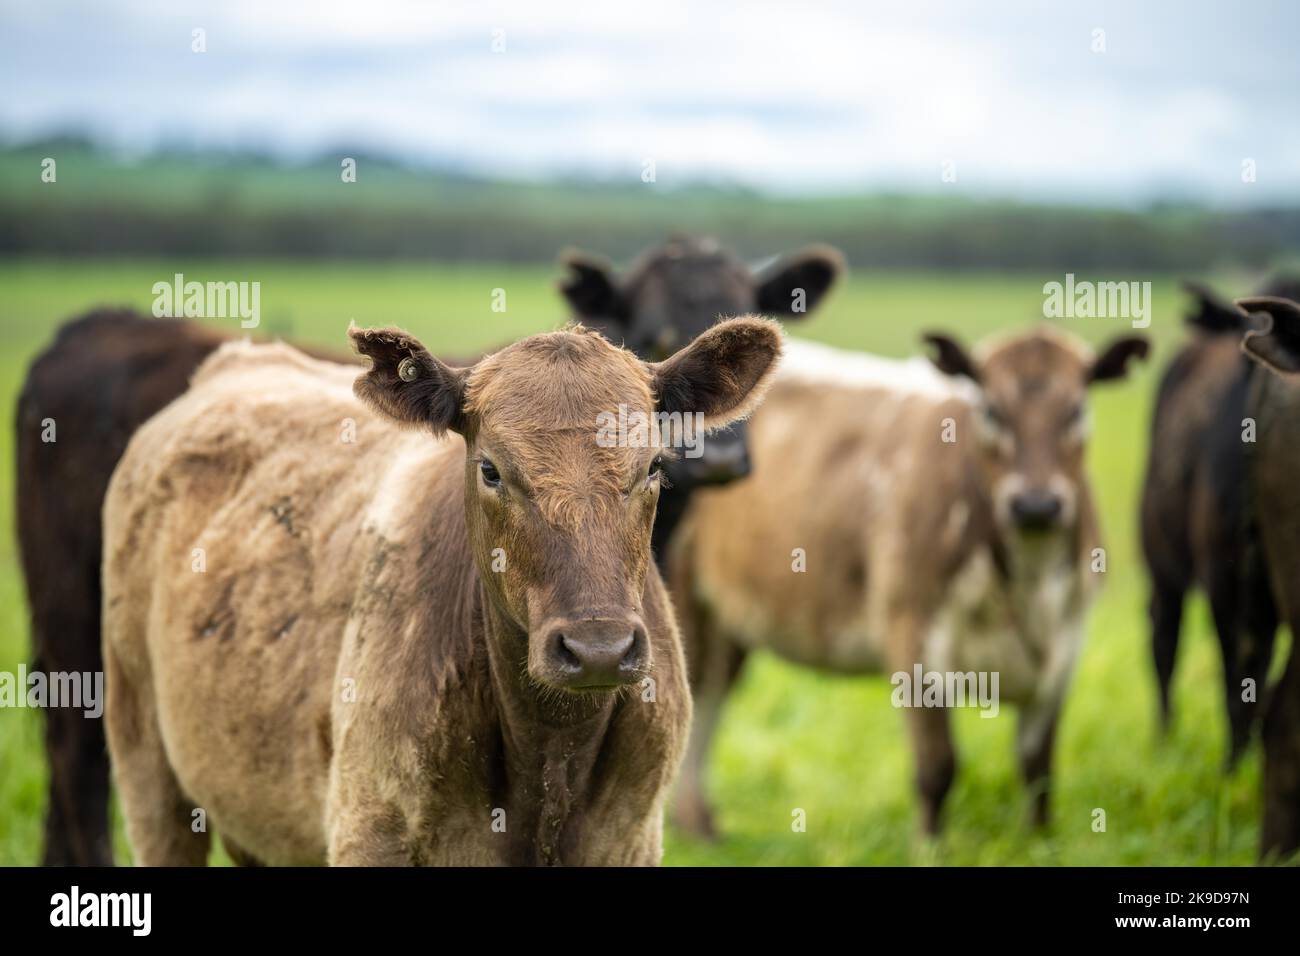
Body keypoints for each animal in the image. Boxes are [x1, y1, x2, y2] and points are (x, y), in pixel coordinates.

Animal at [18, 236, 842, 865]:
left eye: (654, 466)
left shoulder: (632, 839)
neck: (548, 760)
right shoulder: (368, 828)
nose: (599, 649)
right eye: (490, 469)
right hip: (133, 741)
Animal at [666, 325, 1148, 837]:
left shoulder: (1064, 648)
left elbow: (1038, 769)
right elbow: (938, 767)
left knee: (711, 694)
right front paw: (930, 846)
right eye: (990, 410)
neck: (1026, 585)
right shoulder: (913, 634)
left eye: (1077, 408)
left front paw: (1039, 842)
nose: (1036, 504)